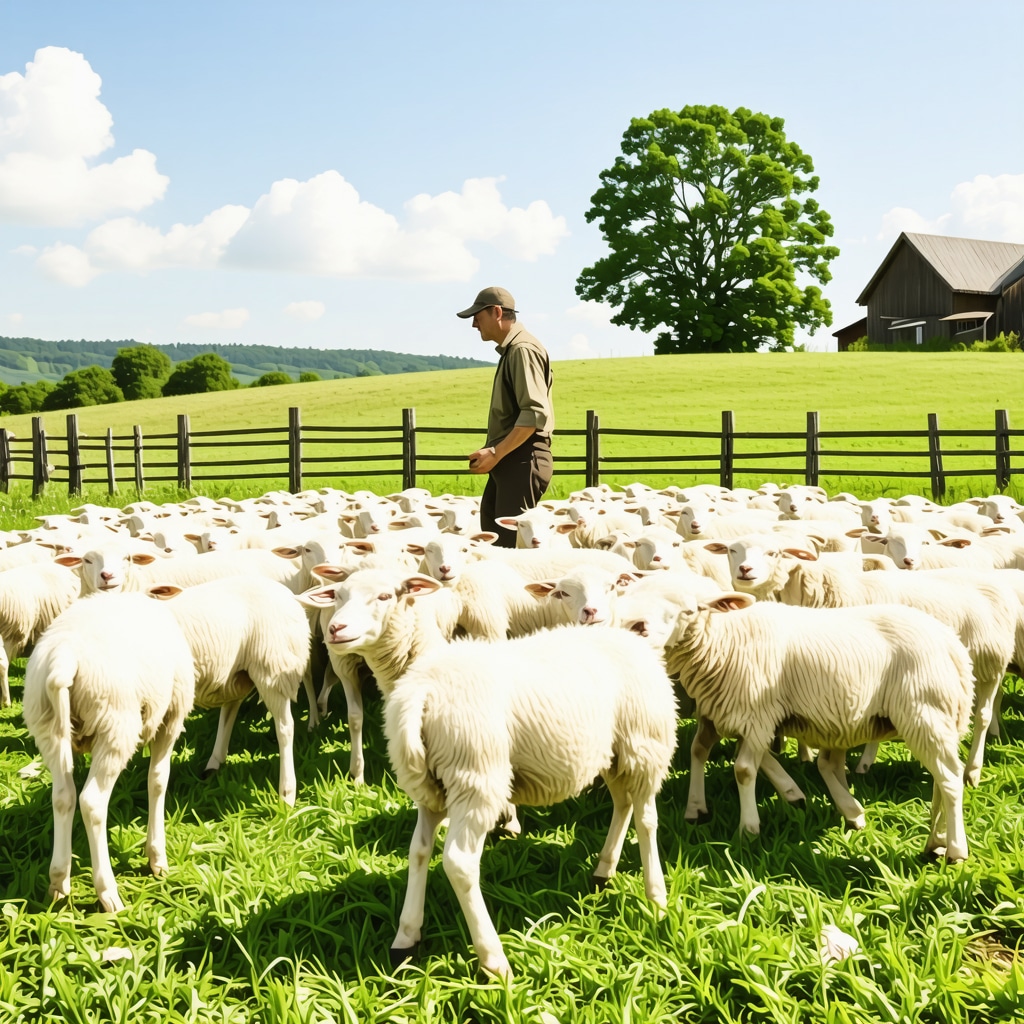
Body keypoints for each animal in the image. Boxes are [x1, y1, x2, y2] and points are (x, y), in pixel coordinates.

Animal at [22, 593, 196, 912]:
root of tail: (65, 659)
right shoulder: (171, 718)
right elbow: (158, 780)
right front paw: (157, 856)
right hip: (115, 723)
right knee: (91, 802)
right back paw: (108, 892)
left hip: (47, 725)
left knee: (63, 797)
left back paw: (59, 881)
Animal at [147, 575, 313, 804]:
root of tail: (293, 597)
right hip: (237, 673)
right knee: (231, 708)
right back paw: (214, 765)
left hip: (273, 669)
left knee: (285, 727)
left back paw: (286, 795)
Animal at [299, 569, 677, 977]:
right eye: (338, 595)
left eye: (385, 595)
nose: (335, 629)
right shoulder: (434, 787)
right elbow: (418, 851)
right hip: (533, 764)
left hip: (466, 778)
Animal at [640, 592, 973, 860]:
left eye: (688, 611)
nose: (642, 632)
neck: (726, 636)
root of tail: (954, 647)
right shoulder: (736, 713)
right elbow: (707, 750)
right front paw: (698, 808)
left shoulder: (756, 712)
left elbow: (744, 768)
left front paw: (749, 828)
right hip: (932, 718)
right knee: (938, 779)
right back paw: (934, 841)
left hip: (924, 711)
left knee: (949, 779)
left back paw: (956, 850)